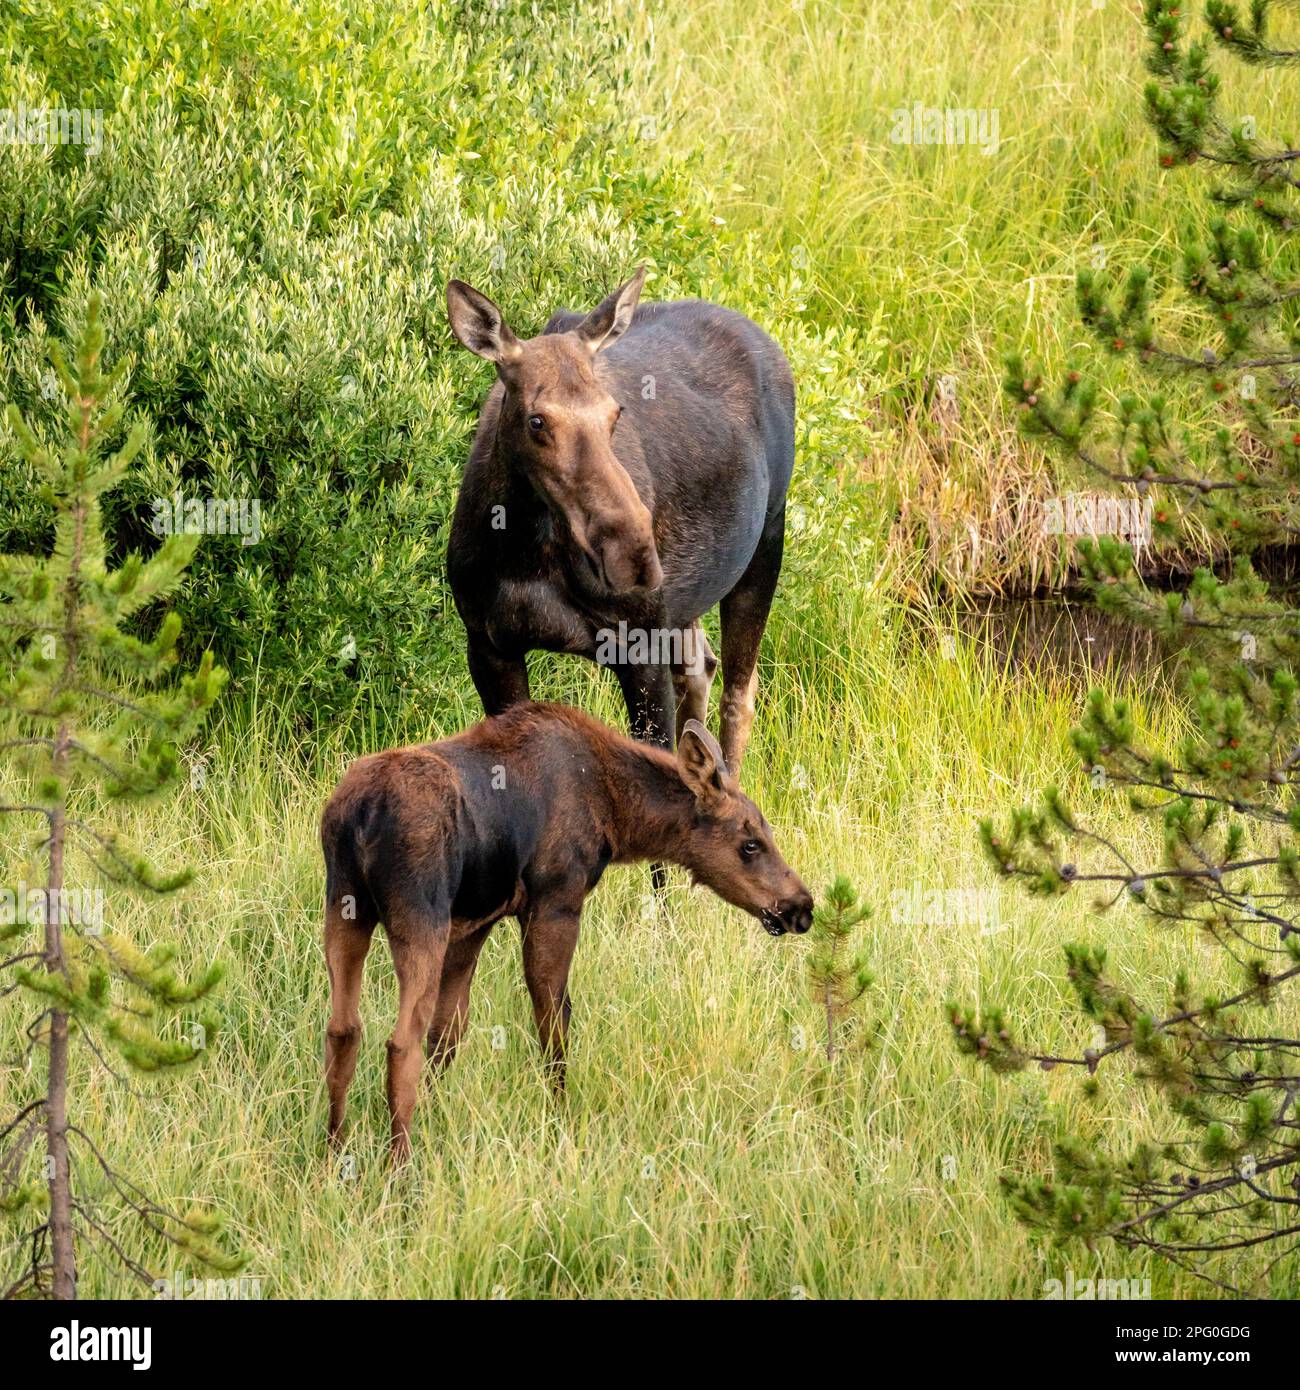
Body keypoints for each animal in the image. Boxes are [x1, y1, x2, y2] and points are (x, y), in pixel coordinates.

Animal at [320, 703, 813, 1162]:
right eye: (750, 844)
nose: (801, 907)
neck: (618, 816)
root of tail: (361, 815)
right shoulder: (555, 903)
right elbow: (553, 1021)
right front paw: (560, 1118)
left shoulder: (474, 924)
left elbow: (450, 1031)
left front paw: (442, 1110)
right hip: (419, 914)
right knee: (401, 1043)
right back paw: (399, 1169)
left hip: (345, 906)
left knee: (344, 1030)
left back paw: (335, 1153)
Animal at [445, 269, 796, 780]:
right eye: (537, 421)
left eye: (615, 413)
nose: (633, 555)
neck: (527, 552)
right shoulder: (488, 645)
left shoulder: (640, 648)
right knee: (700, 670)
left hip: (767, 540)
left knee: (739, 694)